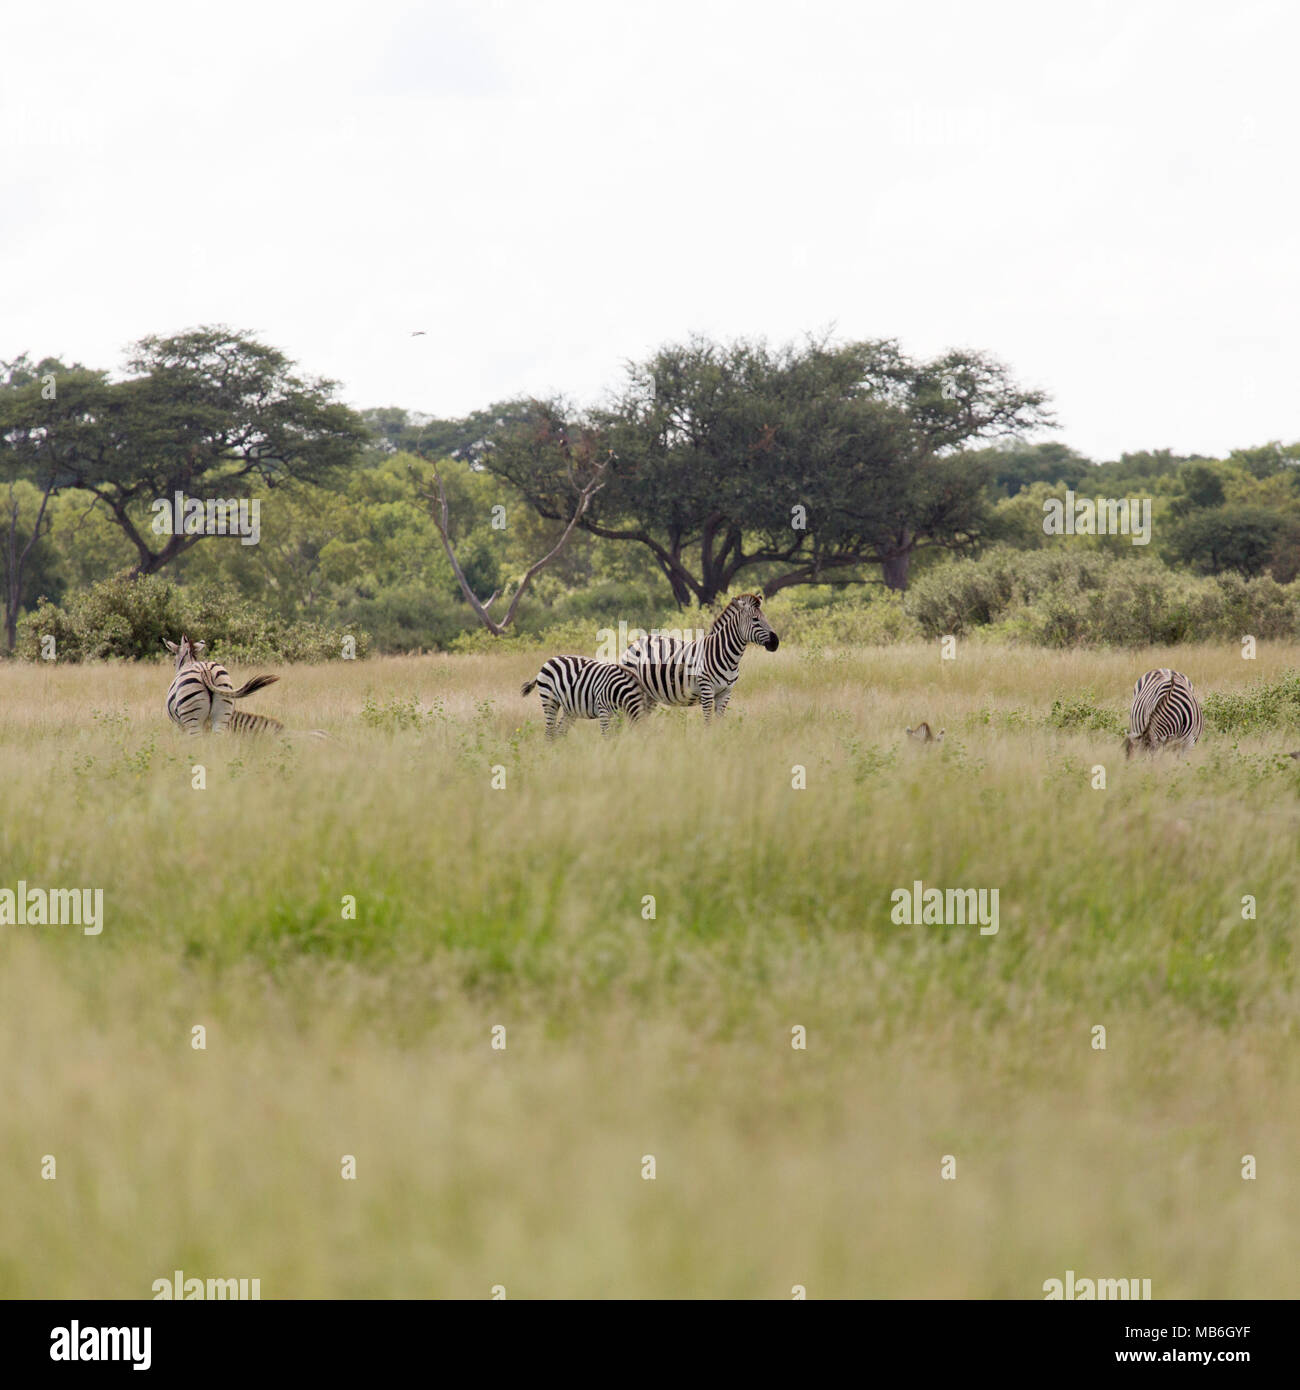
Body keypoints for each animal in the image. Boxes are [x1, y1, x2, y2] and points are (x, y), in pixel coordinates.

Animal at [521, 656, 650, 738]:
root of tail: (550, 660)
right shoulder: (603, 709)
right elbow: (607, 735)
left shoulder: (619, 714)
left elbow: (615, 735)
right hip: (549, 699)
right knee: (549, 732)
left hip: (570, 707)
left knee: (559, 732)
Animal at [619, 592, 779, 722]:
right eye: (755, 620)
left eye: (766, 618)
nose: (776, 642)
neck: (727, 657)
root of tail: (636, 641)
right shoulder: (706, 690)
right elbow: (708, 722)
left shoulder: (725, 693)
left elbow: (719, 723)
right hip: (634, 689)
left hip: (650, 695)